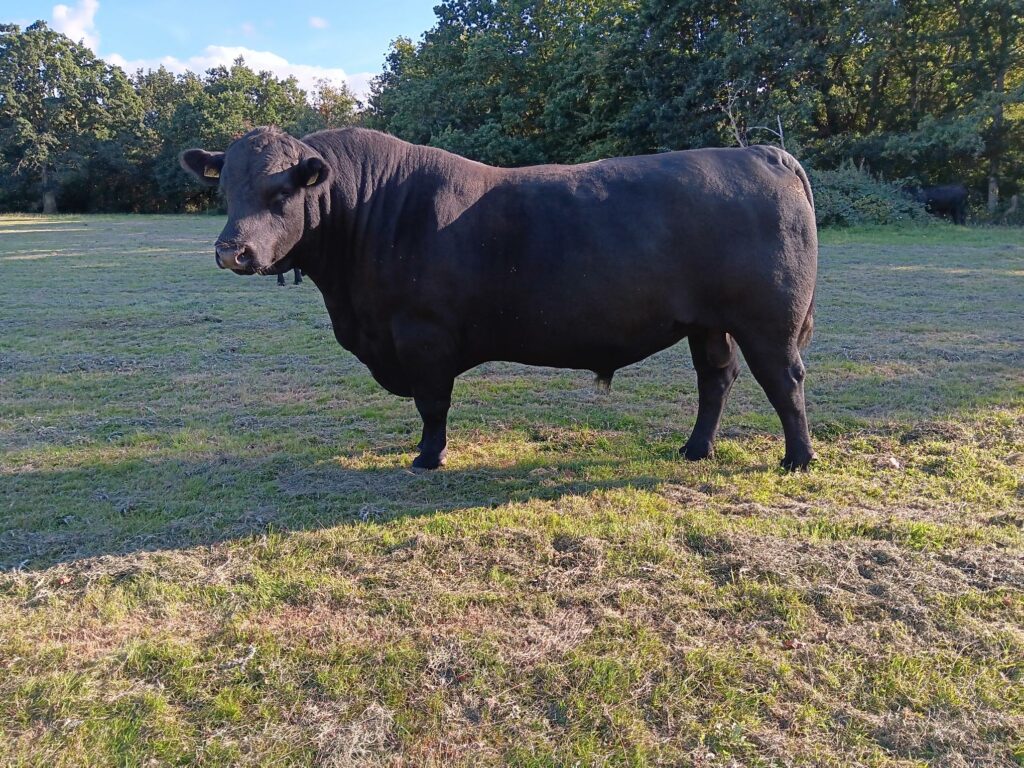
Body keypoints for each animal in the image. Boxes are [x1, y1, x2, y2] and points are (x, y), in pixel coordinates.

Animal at [181, 127, 818, 471]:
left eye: (281, 191)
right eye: (226, 188)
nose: (231, 251)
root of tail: (761, 153)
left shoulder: (423, 335)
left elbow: (432, 404)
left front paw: (428, 457)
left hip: (768, 322)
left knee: (783, 382)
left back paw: (798, 458)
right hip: (707, 323)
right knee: (716, 379)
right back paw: (695, 449)